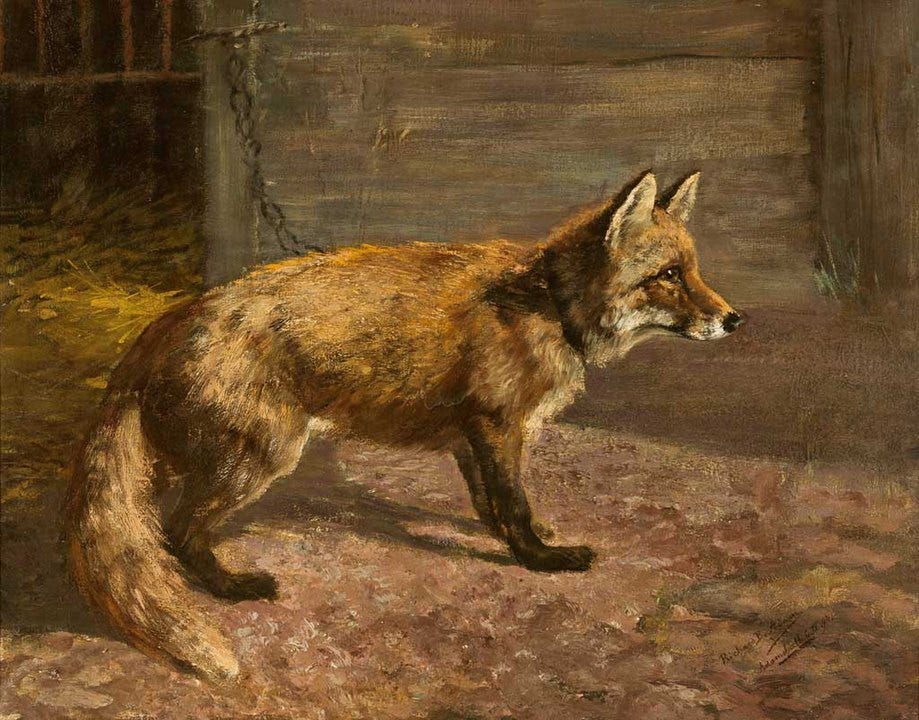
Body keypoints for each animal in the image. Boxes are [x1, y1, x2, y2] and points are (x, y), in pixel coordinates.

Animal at [63, 171, 743, 679]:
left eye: (694, 271)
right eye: (667, 276)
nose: (735, 320)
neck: (548, 303)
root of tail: (171, 320)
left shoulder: (473, 434)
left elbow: (492, 502)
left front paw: (515, 536)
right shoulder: (498, 425)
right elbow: (513, 505)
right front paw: (540, 560)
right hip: (259, 457)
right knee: (177, 530)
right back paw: (230, 587)